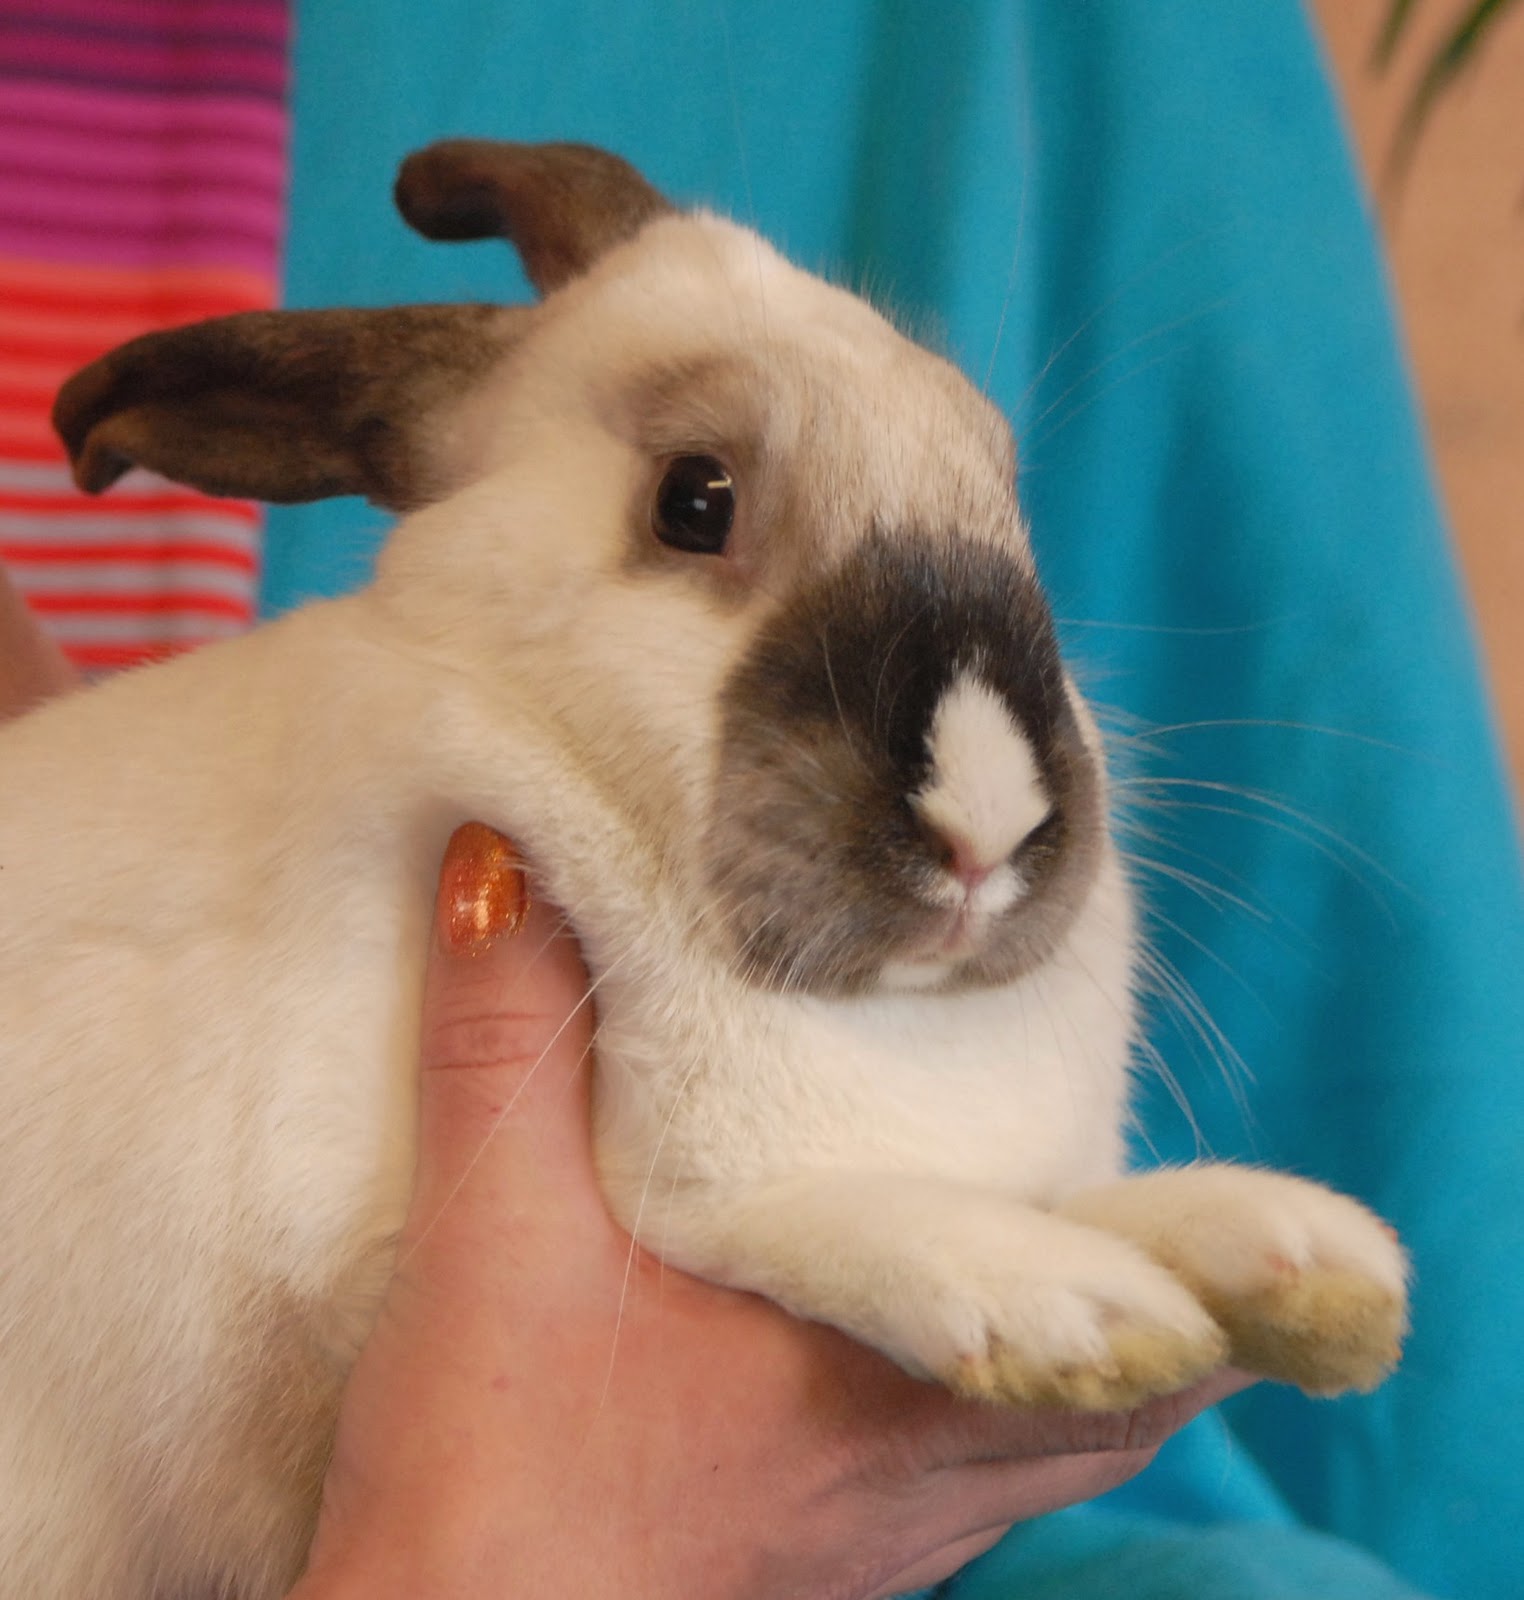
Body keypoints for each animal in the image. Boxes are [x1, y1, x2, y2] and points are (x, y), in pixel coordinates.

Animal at [0, 140, 1408, 1600]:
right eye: (694, 499)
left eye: (1006, 485)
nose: (989, 823)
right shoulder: (539, 1220)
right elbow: (782, 1218)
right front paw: (1071, 1311)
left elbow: (1096, 1200)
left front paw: (1297, 1255)